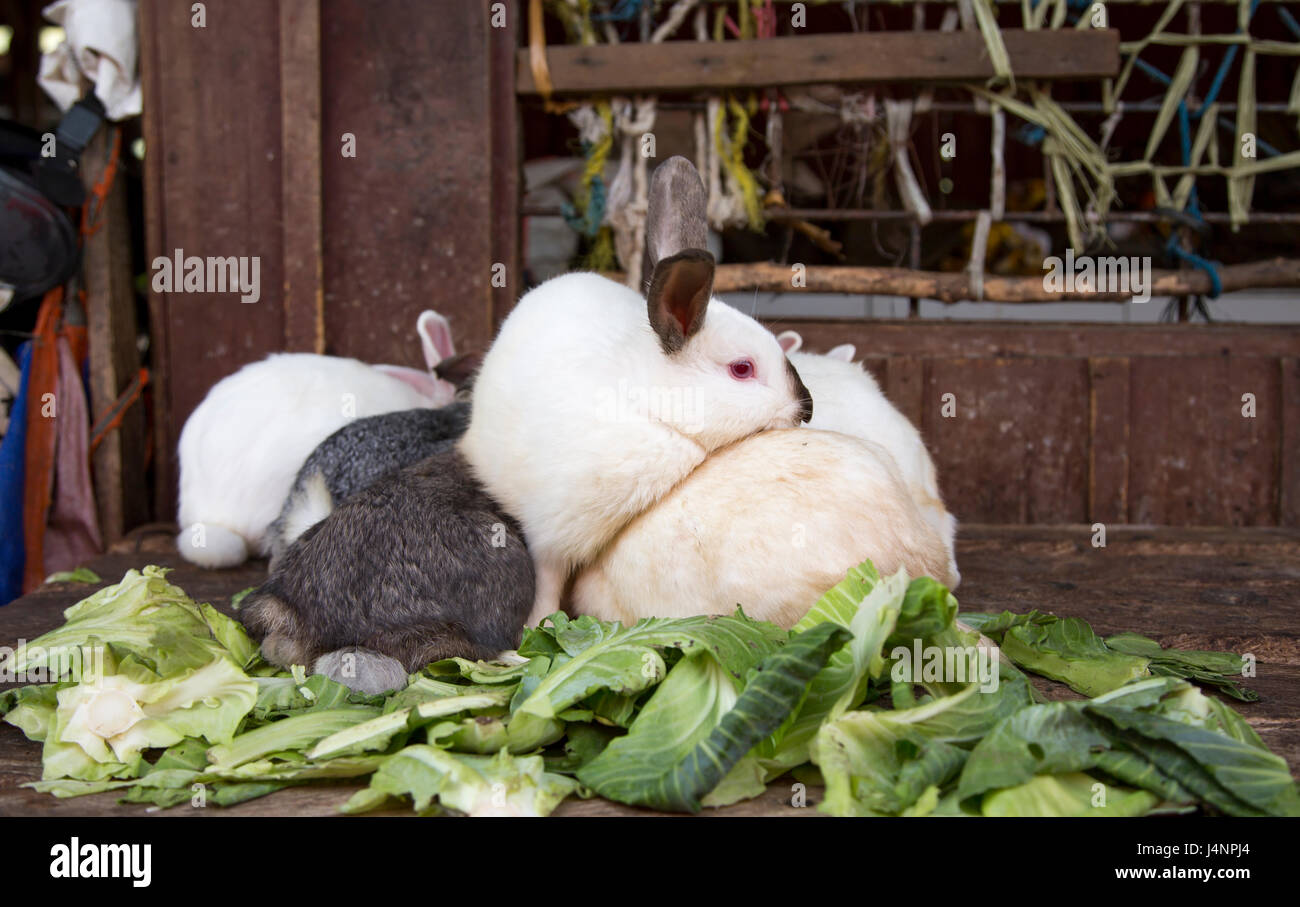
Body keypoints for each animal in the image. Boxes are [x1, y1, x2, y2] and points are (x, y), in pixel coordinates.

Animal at [459, 156, 813, 627]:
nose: (805, 408)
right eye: (742, 369)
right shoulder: (550, 533)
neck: (648, 408)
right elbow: (547, 581)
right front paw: (538, 628)